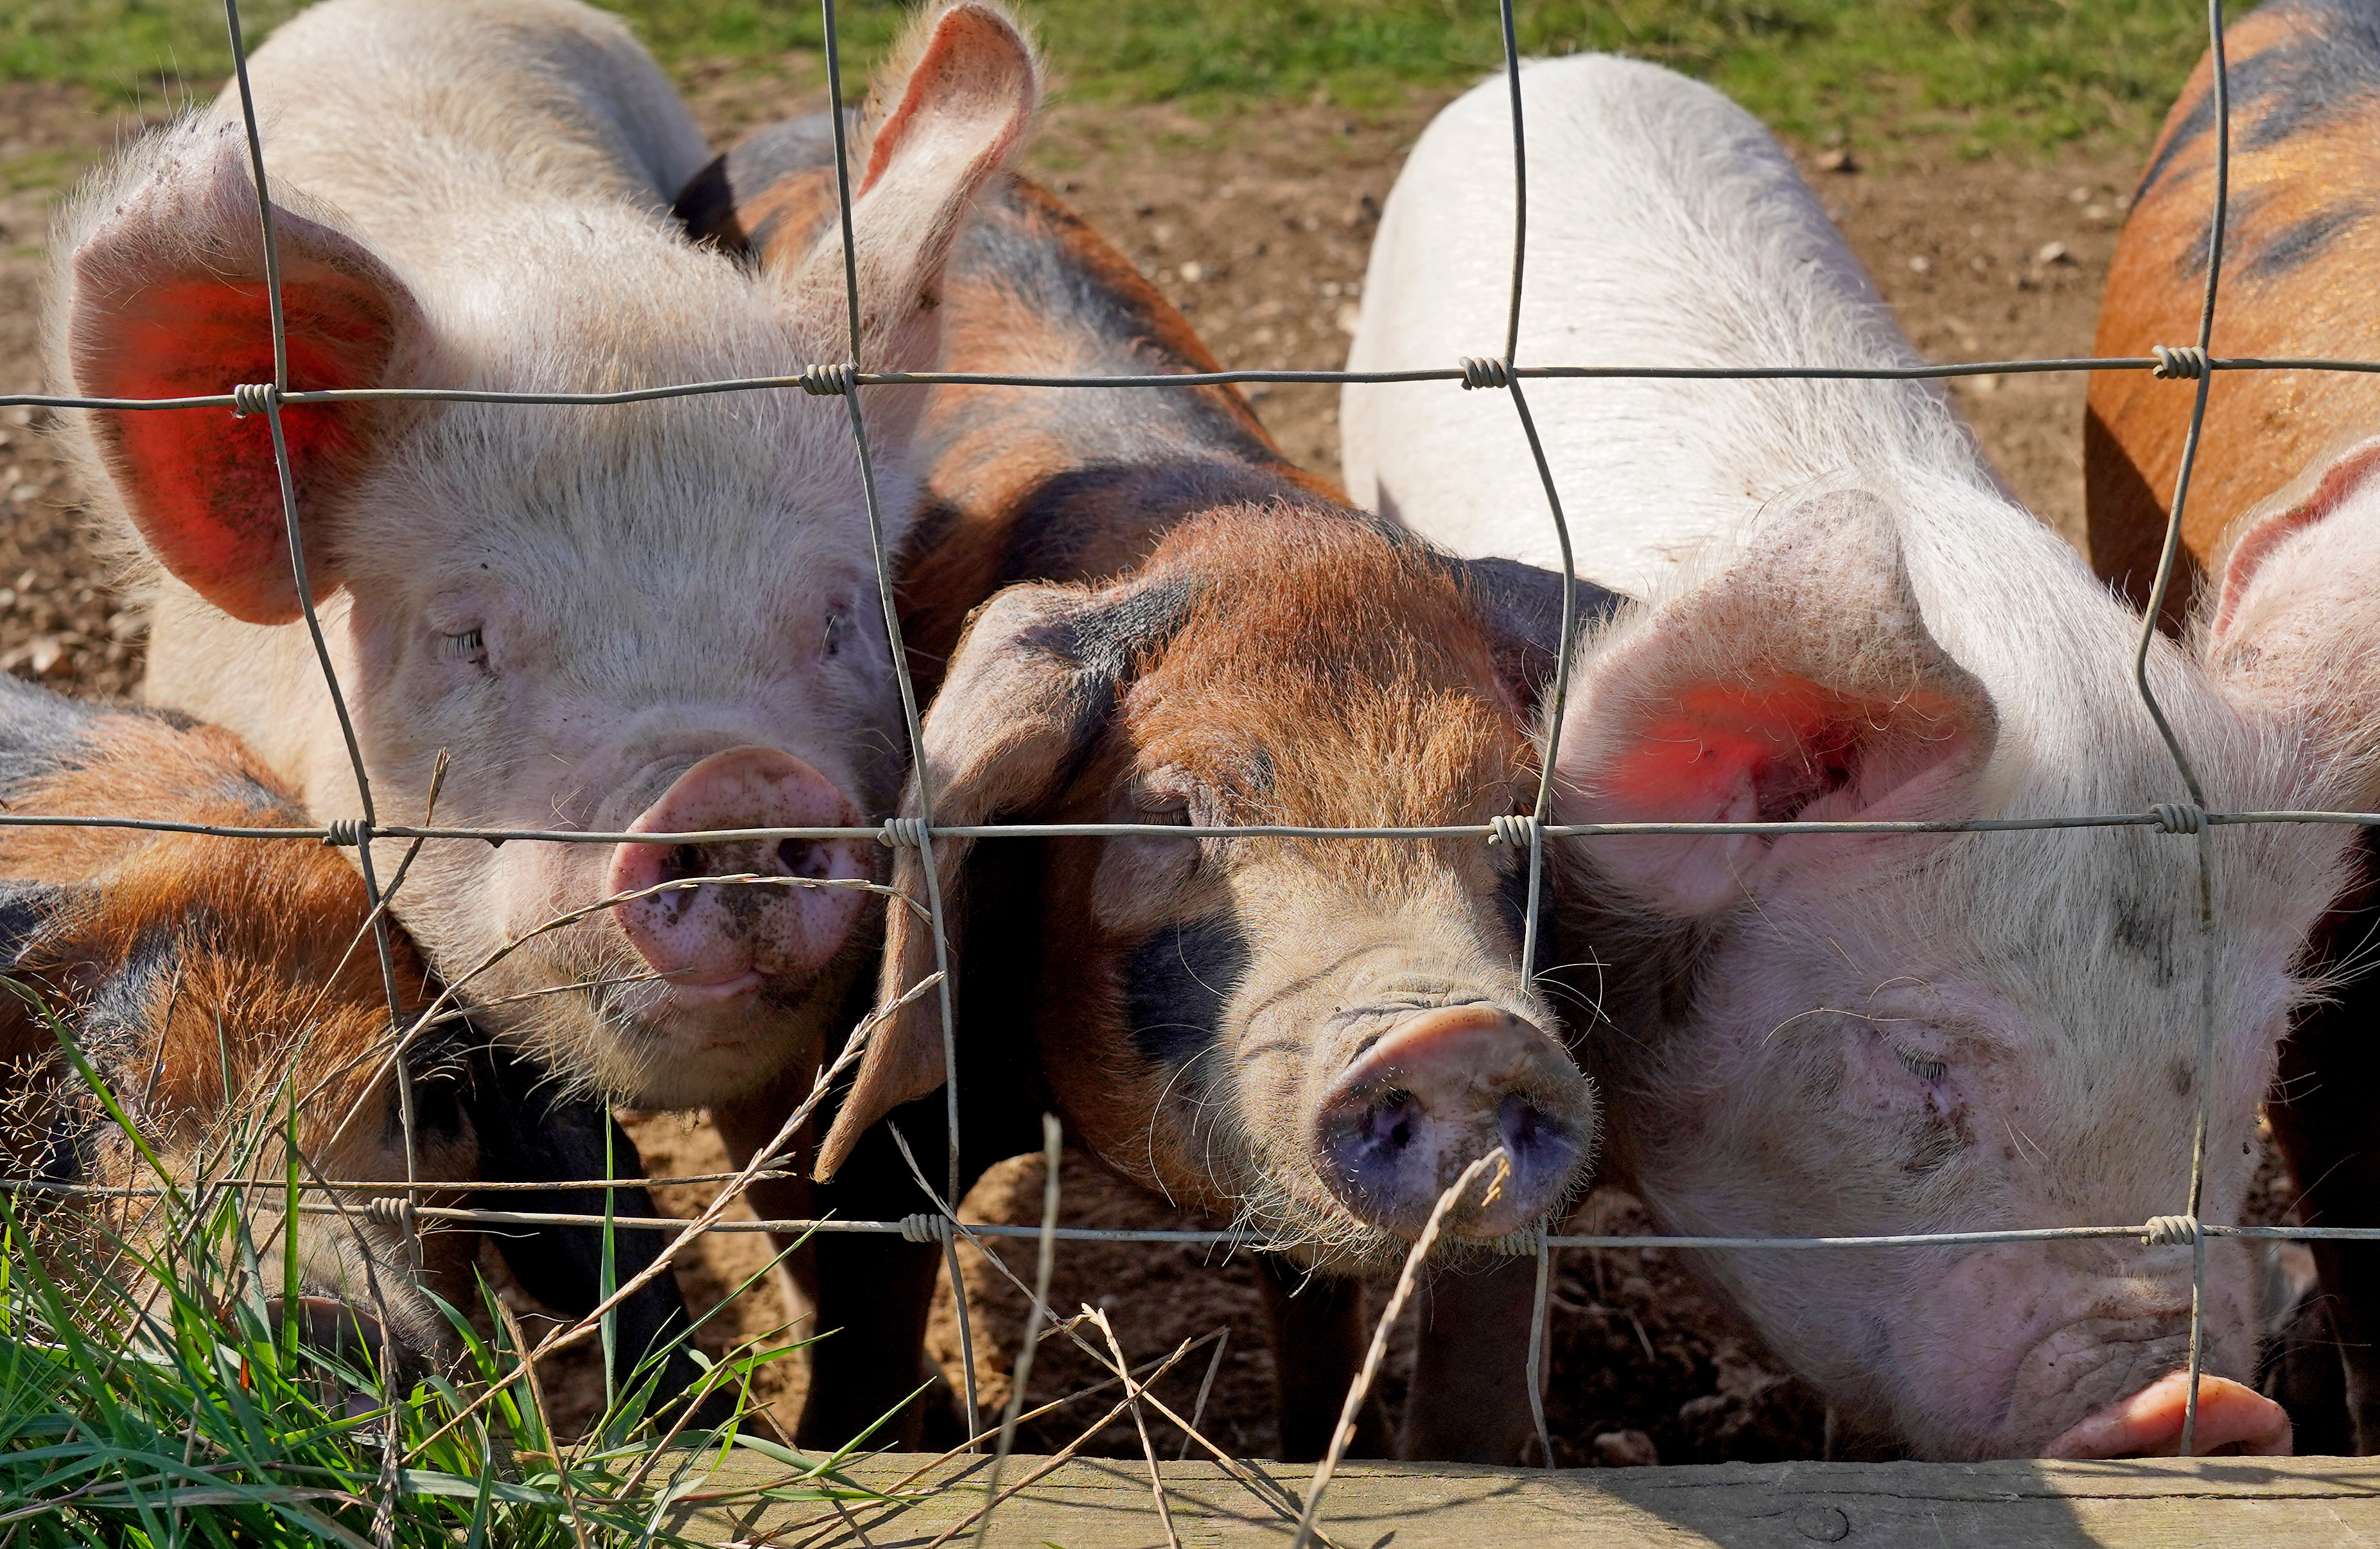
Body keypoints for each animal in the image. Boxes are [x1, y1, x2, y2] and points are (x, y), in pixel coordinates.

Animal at [678, 118, 1610, 1462]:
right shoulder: (893, 1093)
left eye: (1513, 825)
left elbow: (1321, 1319)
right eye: (1172, 812)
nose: (1459, 1033)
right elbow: (861, 1299)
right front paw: (889, 1436)